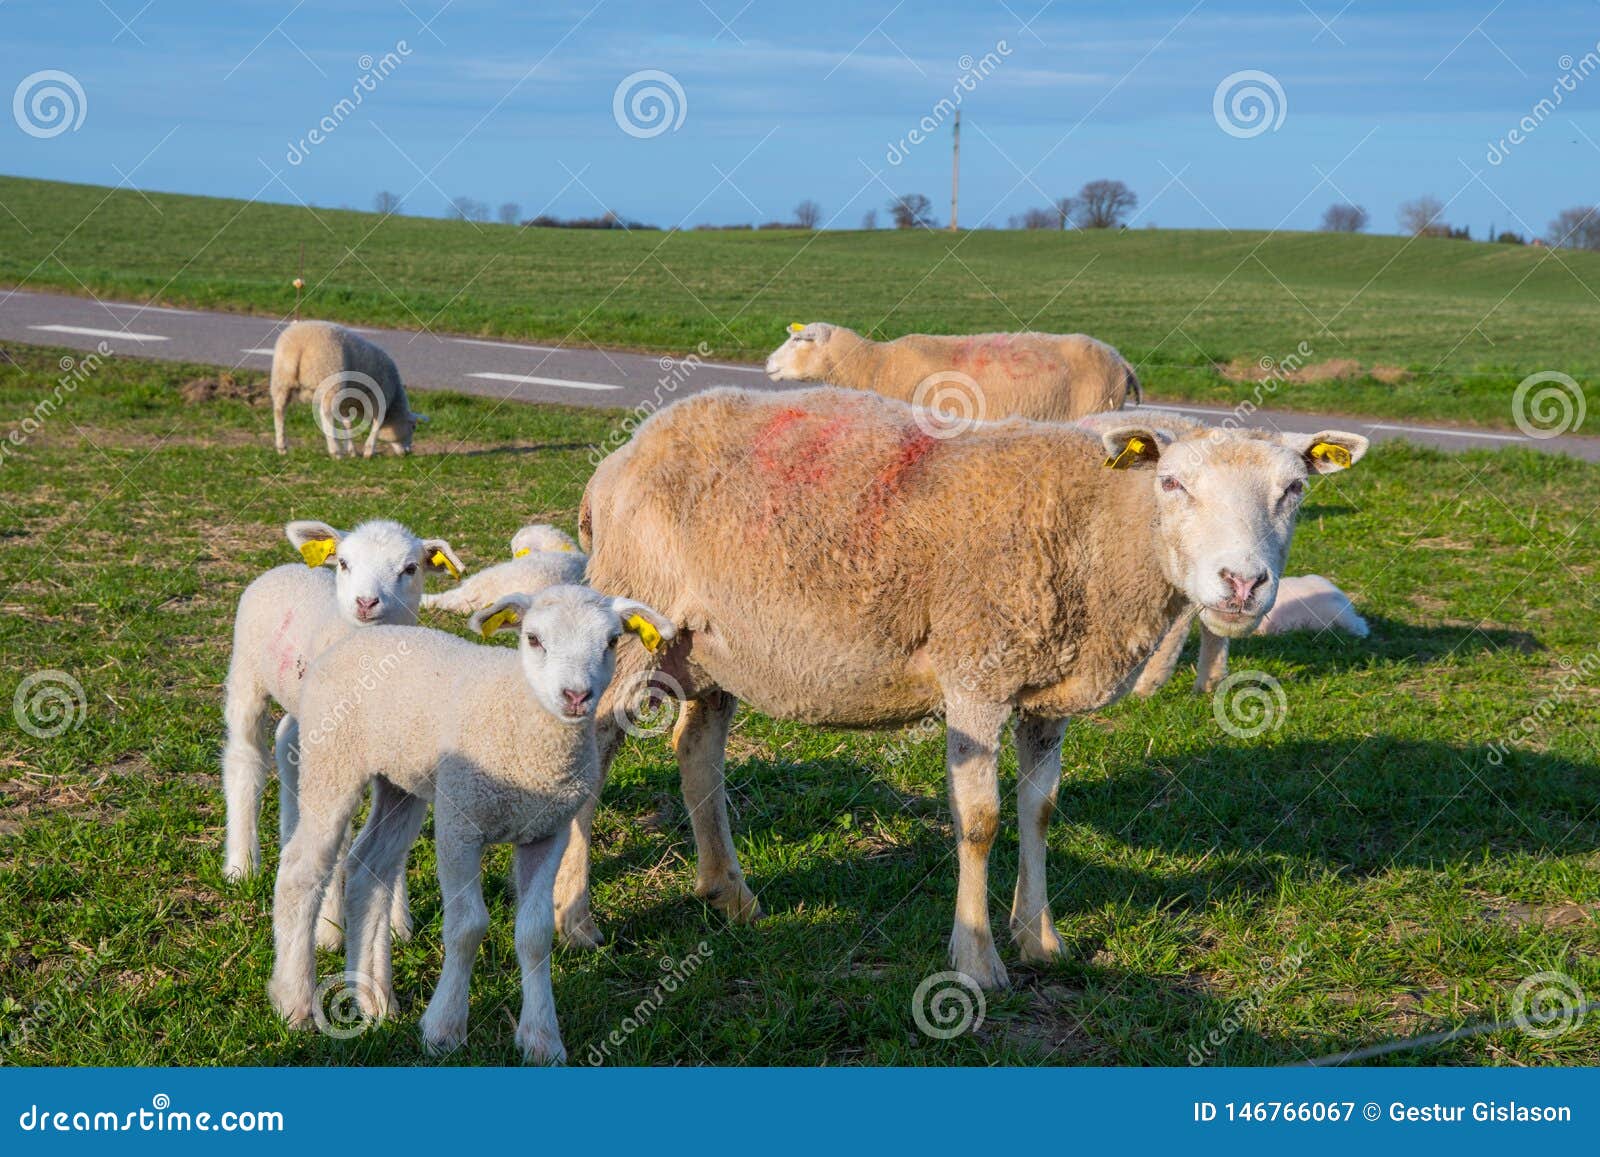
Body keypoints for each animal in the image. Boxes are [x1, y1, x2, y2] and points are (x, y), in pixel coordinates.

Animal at [221, 519, 464, 948]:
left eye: (410, 568)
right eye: (345, 563)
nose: (366, 602)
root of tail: (290, 566)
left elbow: (393, 843)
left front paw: (398, 923)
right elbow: (343, 840)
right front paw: (330, 929)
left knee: (287, 742)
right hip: (247, 674)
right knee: (244, 758)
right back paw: (242, 865)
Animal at [267, 585, 675, 1063]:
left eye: (611, 641)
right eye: (533, 638)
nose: (576, 696)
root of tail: (357, 637)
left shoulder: (547, 832)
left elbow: (535, 933)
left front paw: (542, 1039)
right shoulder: (459, 825)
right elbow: (467, 927)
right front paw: (444, 1029)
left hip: (401, 782)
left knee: (370, 868)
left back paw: (374, 999)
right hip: (332, 758)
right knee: (301, 869)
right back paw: (294, 1003)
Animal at [270, 321, 428, 458]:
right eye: (413, 427)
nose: (408, 452)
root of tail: (298, 346)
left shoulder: (347, 402)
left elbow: (347, 424)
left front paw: (352, 451)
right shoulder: (379, 395)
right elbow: (377, 424)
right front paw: (368, 451)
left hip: (281, 381)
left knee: (279, 411)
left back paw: (282, 447)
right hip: (330, 381)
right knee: (325, 416)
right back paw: (335, 451)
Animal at [560, 385, 1367, 987]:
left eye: (1294, 490)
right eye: (1172, 483)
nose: (1243, 583)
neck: (1096, 527)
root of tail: (618, 459)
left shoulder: (1046, 695)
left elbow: (1040, 810)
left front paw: (1040, 938)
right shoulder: (977, 672)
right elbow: (979, 820)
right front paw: (977, 960)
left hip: (711, 645)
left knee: (696, 747)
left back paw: (728, 892)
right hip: (633, 617)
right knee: (588, 759)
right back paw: (576, 920)